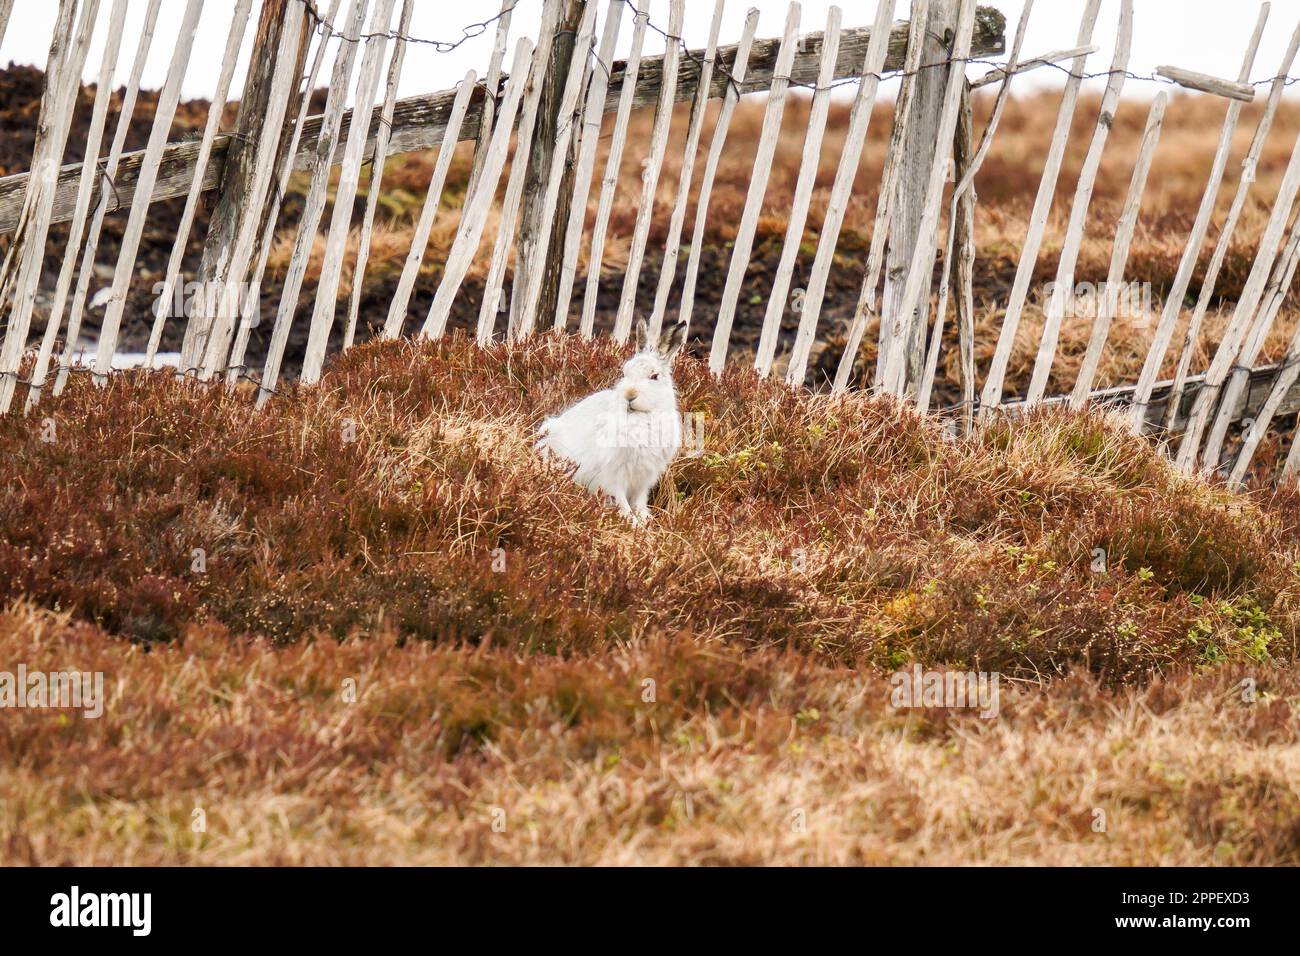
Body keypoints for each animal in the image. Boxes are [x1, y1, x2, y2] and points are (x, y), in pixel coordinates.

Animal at [536, 318, 688, 524]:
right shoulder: (613, 476)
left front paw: (645, 520)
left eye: (654, 376)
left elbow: (639, 501)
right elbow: (621, 500)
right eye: (625, 373)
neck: (641, 416)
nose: (629, 395)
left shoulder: (644, 479)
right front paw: (632, 523)